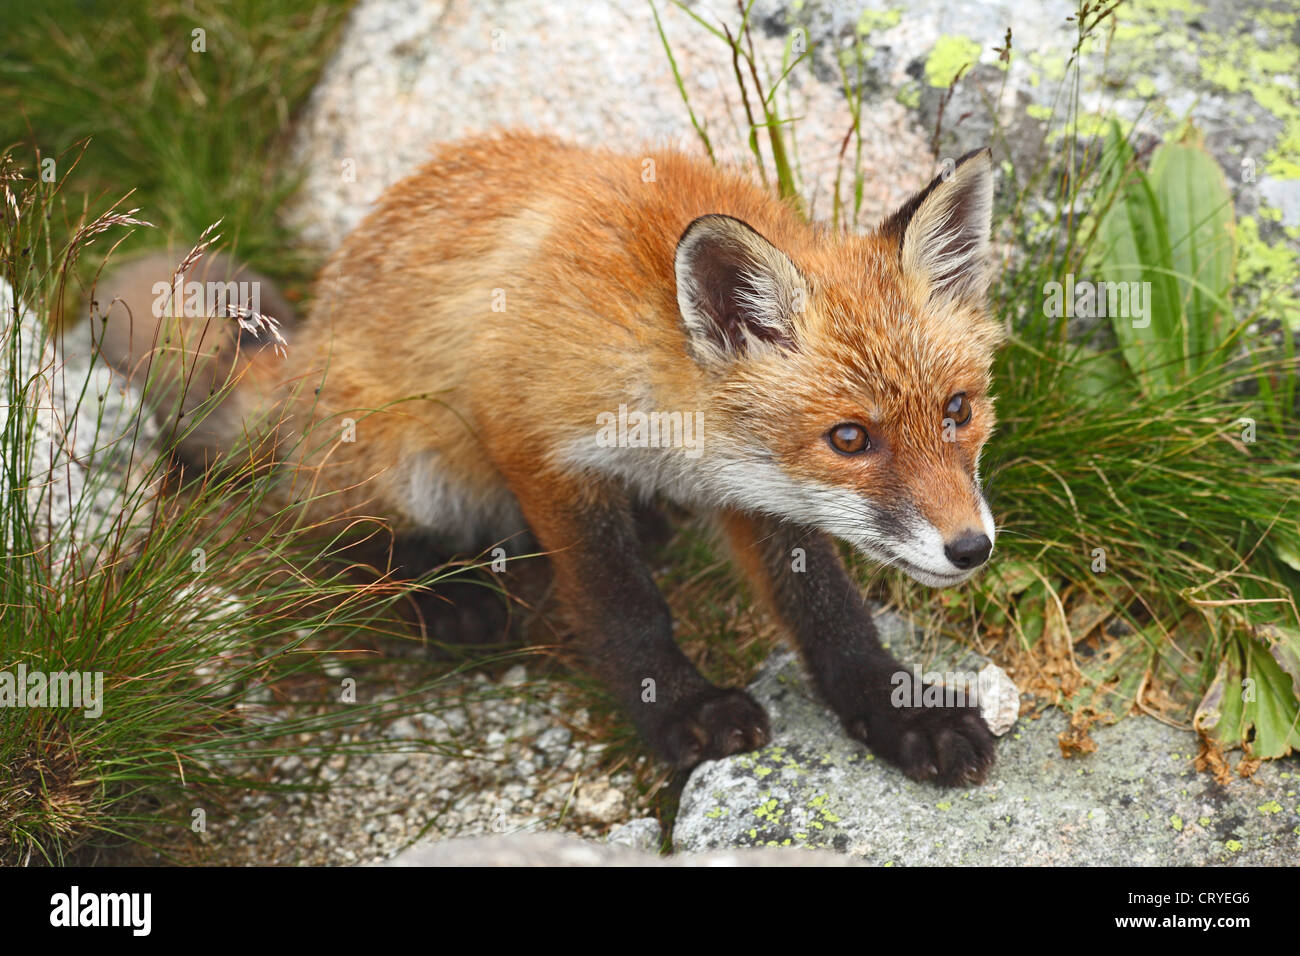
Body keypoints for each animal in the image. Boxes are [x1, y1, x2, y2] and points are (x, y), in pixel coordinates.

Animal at [90, 132, 1005, 786]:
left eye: (958, 412)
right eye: (851, 439)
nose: (972, 548)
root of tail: (306, 343)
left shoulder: (755, 489)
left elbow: (831, 614)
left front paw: (900, 714)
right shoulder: (536, 442)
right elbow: (622, 605)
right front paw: (682, 712)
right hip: (406, 460)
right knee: (327, 526)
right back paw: (442, 594)